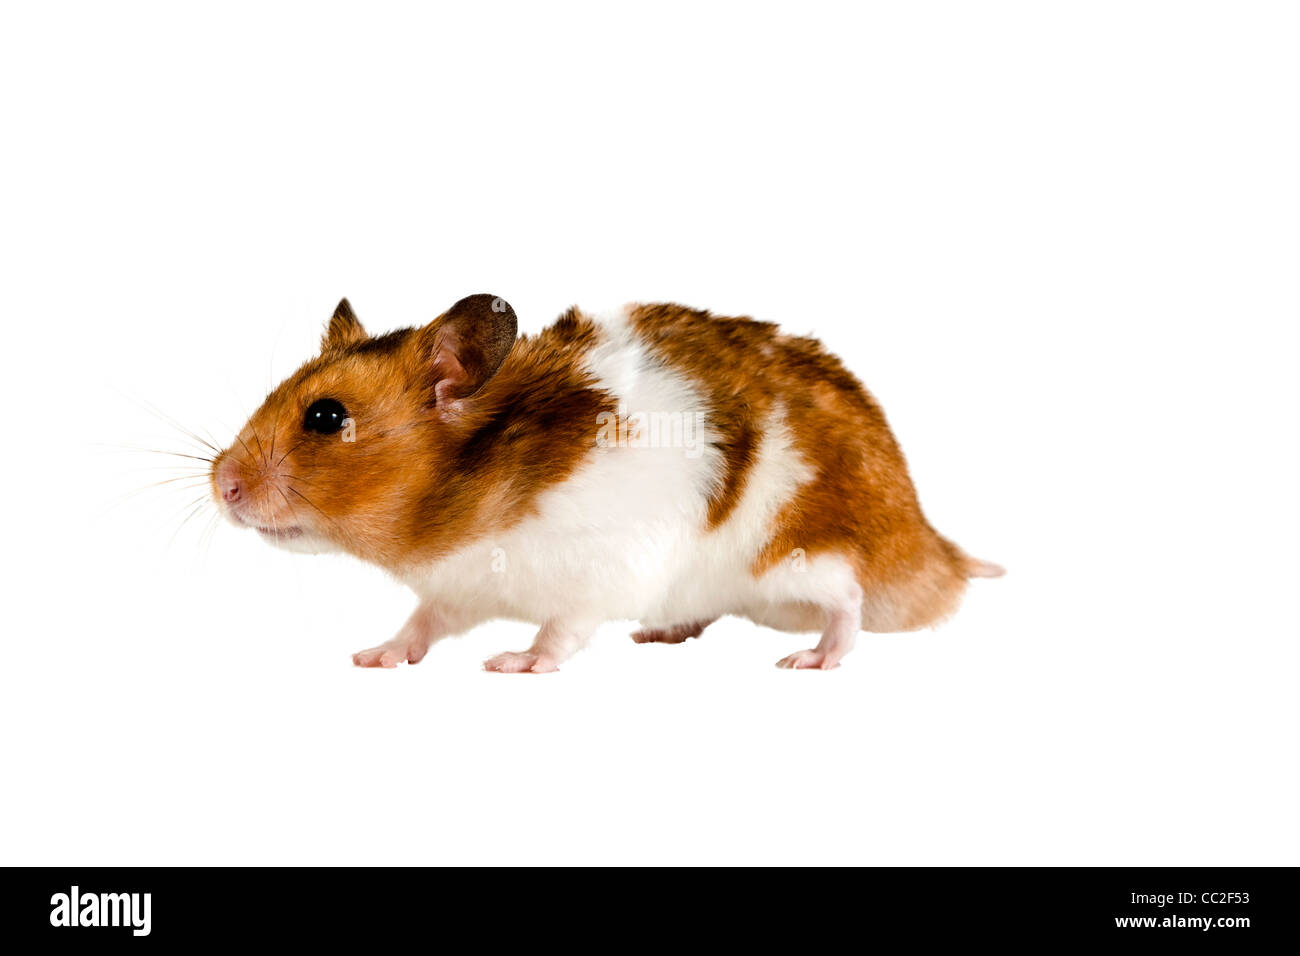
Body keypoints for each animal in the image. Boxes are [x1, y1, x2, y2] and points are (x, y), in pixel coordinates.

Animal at [210, 294, 1002, 671]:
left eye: (326, 416)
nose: (221, 487)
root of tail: (922, 538)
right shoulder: (457, 585)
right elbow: (423, 622)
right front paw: (373, 656)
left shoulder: (598, 569)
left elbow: (561, 630)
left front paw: (514, 664)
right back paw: (662, 634)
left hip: (798, 554)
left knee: (848, 601)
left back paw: (811, 658)